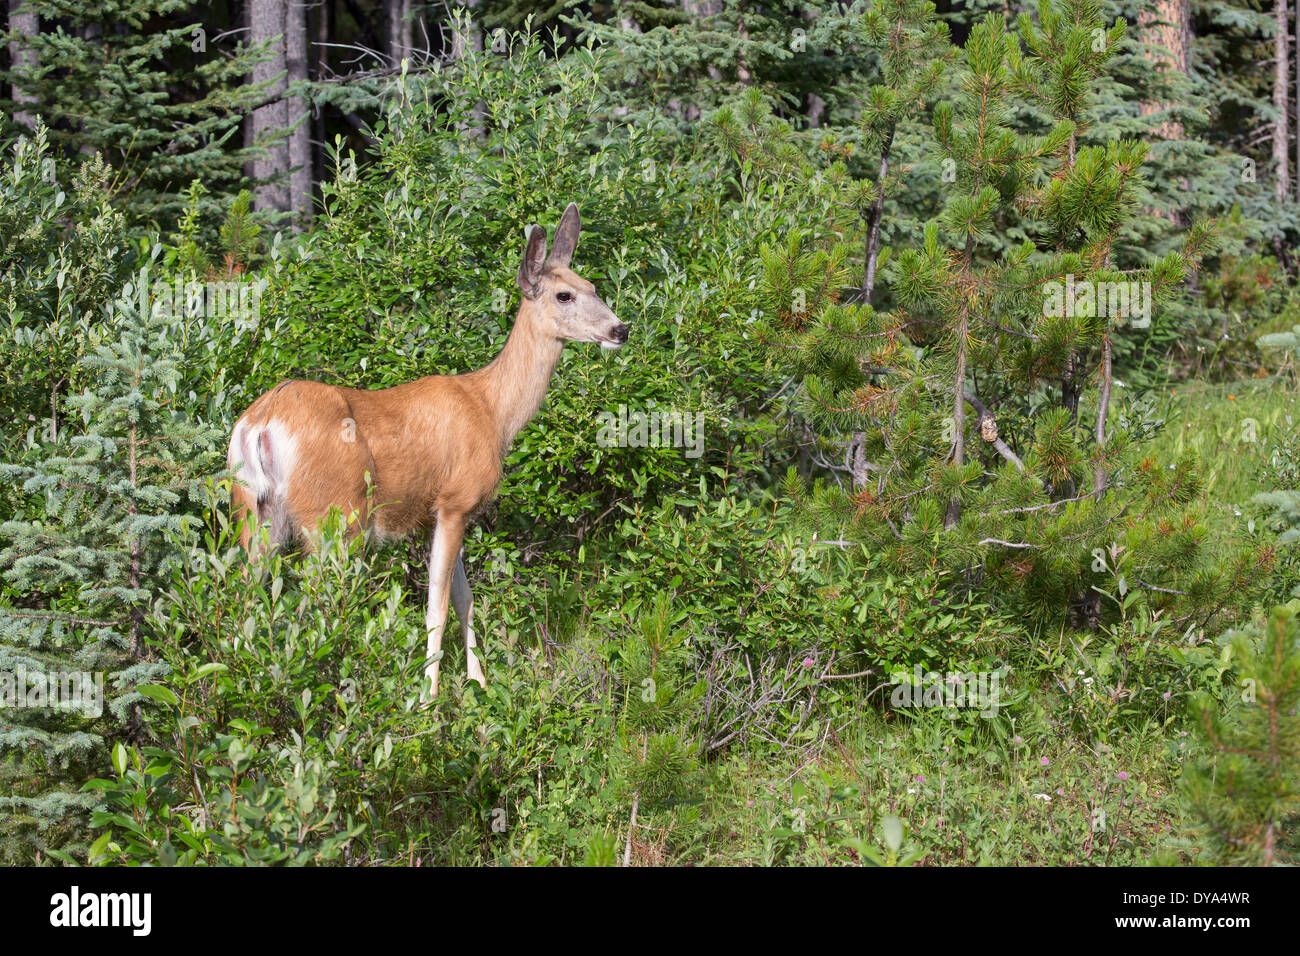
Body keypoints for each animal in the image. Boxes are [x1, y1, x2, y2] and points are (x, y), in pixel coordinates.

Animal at [226, 203, 627, 698]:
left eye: (593, 286)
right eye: (565, 295)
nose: (620, 329)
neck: (493, 411)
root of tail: (260, 422)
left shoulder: (436, 514)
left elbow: (464, 598)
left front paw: (478, 683)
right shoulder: (457, 500)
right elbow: (437, 604)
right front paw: (429, 697)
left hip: (254, 509)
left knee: (247, 592)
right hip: (333, 515)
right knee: (314, 600)